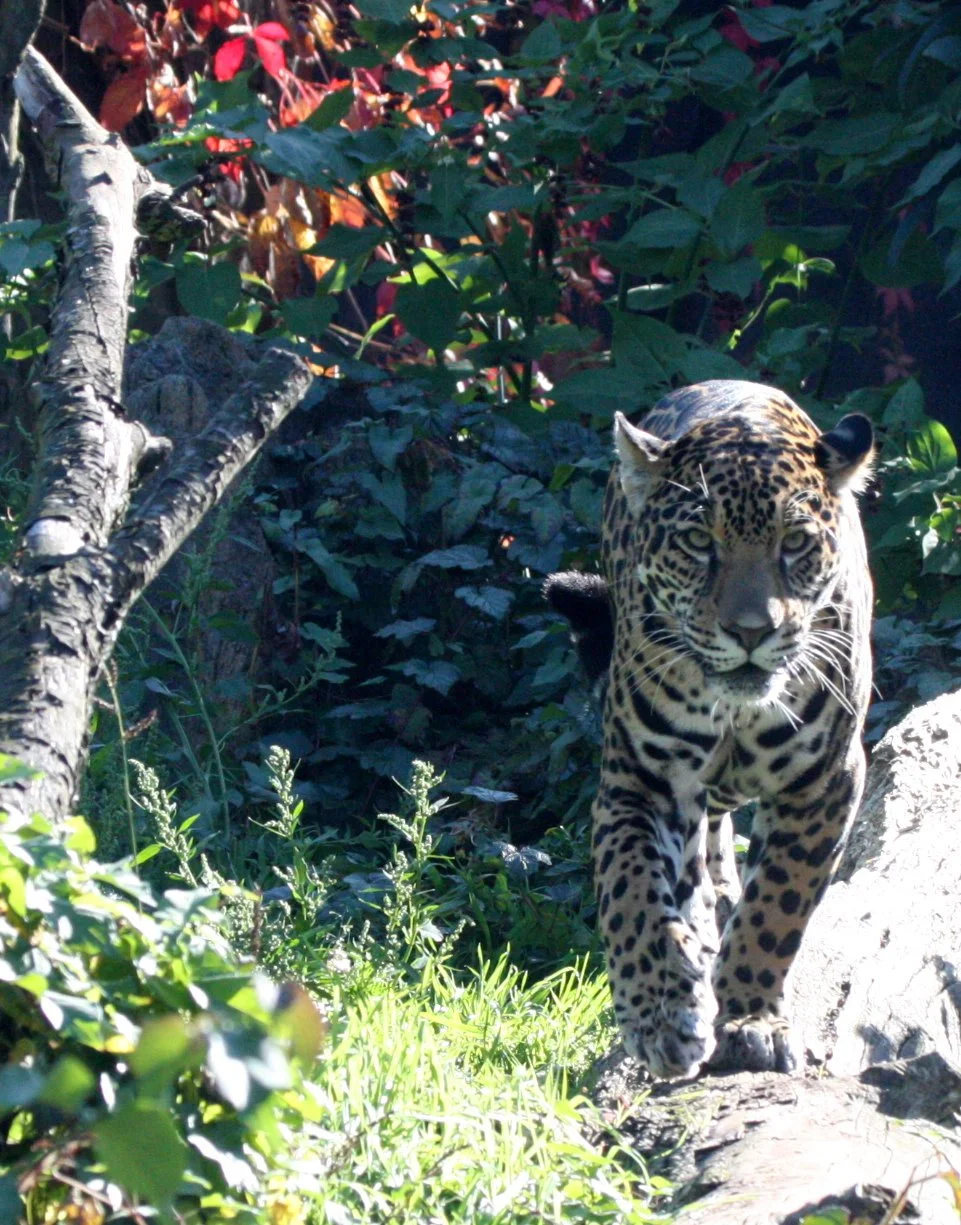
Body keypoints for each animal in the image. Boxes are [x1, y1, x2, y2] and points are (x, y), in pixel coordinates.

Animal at [546, 379, 874, 1080]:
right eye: (699, 541)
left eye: (794, 542)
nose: (751, 631)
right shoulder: (638, 781)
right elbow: (631, 892)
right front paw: (661, 1014)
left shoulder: (826, 782)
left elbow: (778, 903)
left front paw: (750, 1017)